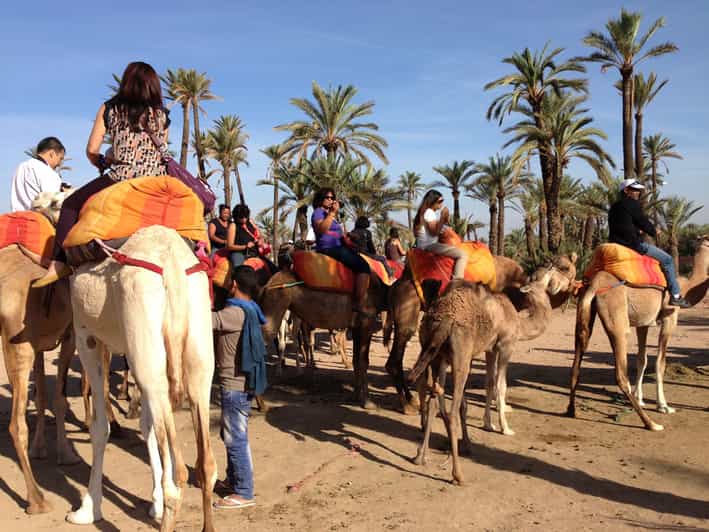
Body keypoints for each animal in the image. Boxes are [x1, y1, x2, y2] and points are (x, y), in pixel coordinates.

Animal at [66, 225, 216, 531]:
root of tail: (172, 264)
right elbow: (146, 425)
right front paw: (153, 504)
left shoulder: (87, 336)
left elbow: (99, 428)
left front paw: (88, 509)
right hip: (193, 348)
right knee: (205, 463)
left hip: (140, 318)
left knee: (179, 476)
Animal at [261, 270, 385, 408]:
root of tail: (267, 285)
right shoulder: (366, 322)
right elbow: (364, 361)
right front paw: (368, 401)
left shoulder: (357, 327)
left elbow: (356, 360)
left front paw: (356, 396)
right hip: (276, 308)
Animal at [385, 253, 578, 414]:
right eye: (563, 267)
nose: (574, 285)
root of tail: (395, 285)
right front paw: (501, 406)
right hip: (408, 315)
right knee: (395, 360)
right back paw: (409, 404)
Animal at [409, 267, 558, 485]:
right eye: (540, 276)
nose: (551, 267)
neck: (518, 322)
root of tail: (443, 319)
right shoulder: (505, 345)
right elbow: (501, 385)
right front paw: (506, 428)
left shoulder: (490, 349)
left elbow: (489, 382)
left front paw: (489, 424)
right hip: (460, 356)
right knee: (451, 410)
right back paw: (458, 475)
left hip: (434, 352)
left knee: (433, 400)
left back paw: (420, 456)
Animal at [567, 236, 709, 431]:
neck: (686, 286)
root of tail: (593, 285)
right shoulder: (670, 317)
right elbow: (660, 362)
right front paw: (663, 406)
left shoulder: (644, 323)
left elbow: (642, 359)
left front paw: (640, 398)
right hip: (618, 323)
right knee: (620, 375)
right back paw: (651, 423)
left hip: (583, 313)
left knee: (576, 364)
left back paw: (572, 411)